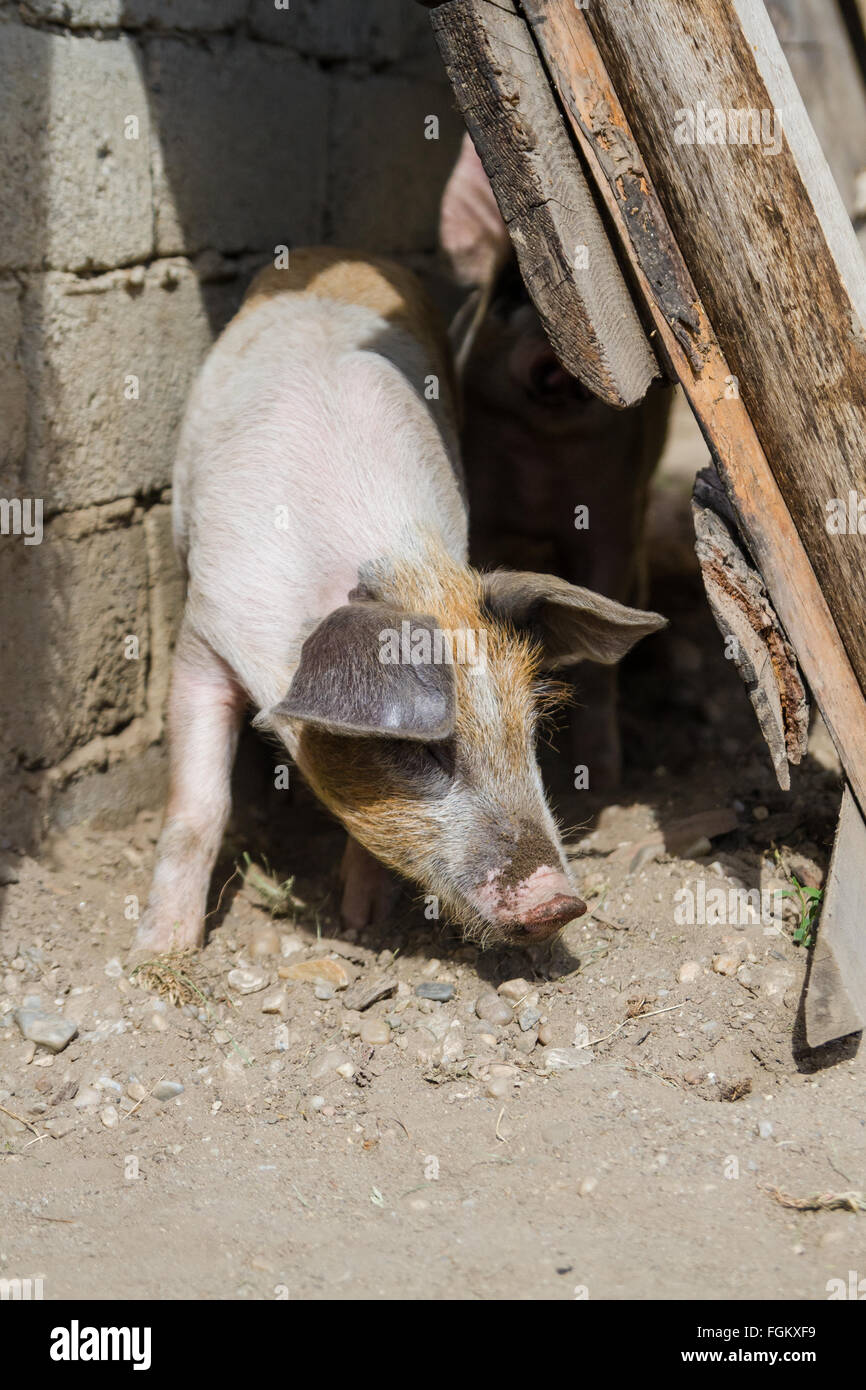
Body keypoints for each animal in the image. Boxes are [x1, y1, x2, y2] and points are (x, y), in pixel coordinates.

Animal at [132, 246, 666, 958]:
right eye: (426, 752)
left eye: (527, 736)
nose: (561, 902)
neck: (400, 562)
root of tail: (343, 254)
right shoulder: (204, 628)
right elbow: (197, 808)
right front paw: (157, 951)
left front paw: (363, 923)